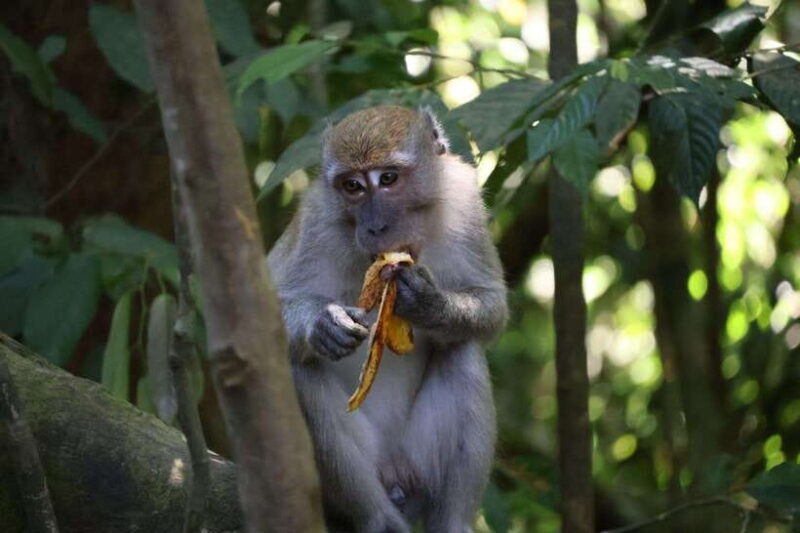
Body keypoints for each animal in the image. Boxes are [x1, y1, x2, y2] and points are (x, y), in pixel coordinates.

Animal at [267, 105, 508, 533]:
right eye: (352, 186)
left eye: (389, 178)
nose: (375, 226)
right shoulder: (316, 222)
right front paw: (321, 324)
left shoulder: (464, 203)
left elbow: (491, 303)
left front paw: (427, 303)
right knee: (301, 369)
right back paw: (378, 517)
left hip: (418, 464)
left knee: (464, 352)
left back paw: (451, 521)